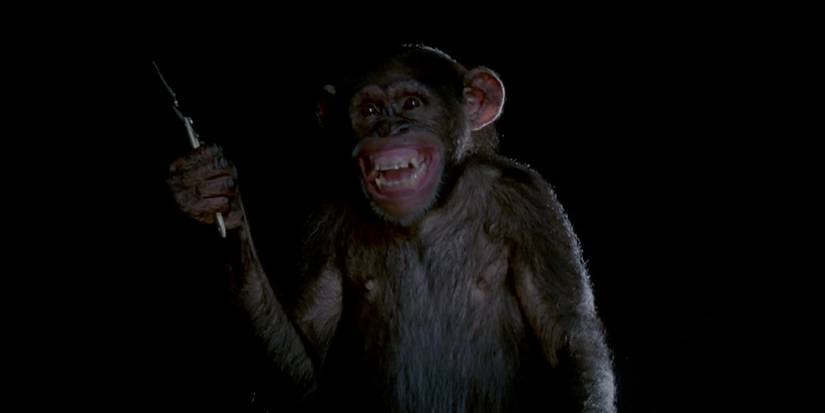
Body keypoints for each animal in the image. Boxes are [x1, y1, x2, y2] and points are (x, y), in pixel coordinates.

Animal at [167, 45, 616, 412]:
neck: (430, 208)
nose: (387, 129)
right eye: (367, 111)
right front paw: (212, 196)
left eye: (411, 103)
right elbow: (306, 365)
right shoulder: (321, 226)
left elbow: (568, 336)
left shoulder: (531, 204)